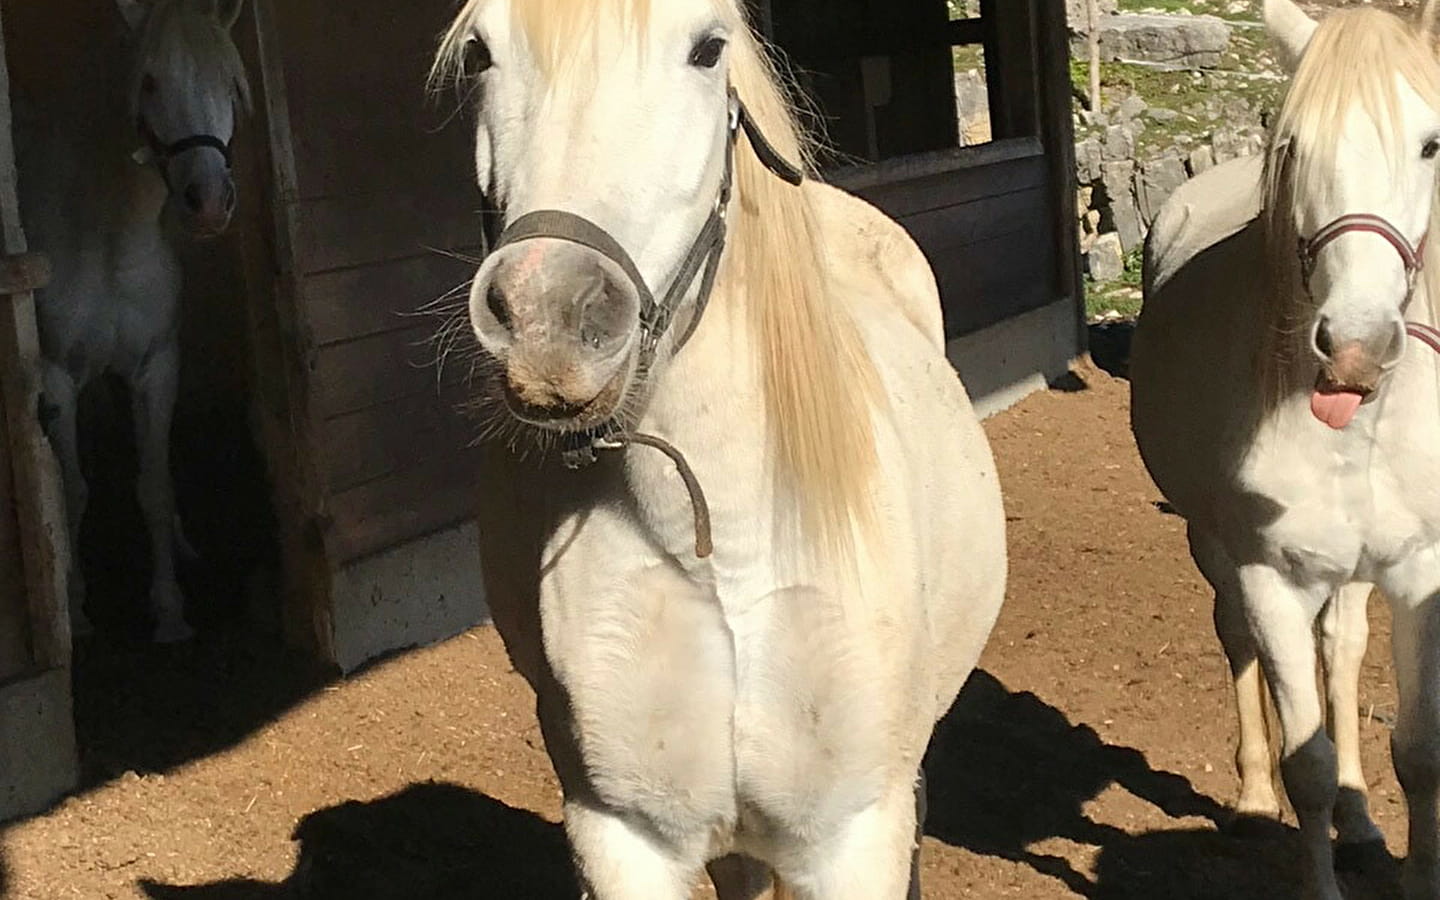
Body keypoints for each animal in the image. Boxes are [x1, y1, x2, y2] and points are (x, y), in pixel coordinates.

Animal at [15, 0, 250, 642]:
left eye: (229, 84)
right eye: (149, 82)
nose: (209, 202)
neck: (106, 236)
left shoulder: (156, 367)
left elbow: (154, 484)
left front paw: (169, 610)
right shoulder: (57, 380)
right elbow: (70, 493)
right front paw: (76, 608)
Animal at [432, 0, 1007, 896]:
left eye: (707, 50)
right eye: (480, 54)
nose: (551, 318)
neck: (719, 540)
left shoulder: (849, 839)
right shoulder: (621, 836)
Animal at [1131, 1, 1440, 896]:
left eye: (1431, 144)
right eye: (1294, 144)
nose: (1357, 348)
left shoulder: (1418, 574)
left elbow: (1418, 753)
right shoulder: (1269, 575)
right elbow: (1308, 762)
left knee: (1340, 652)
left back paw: (1362, 823)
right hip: (1213, 545)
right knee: (1235, 637)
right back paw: (1252, 799)